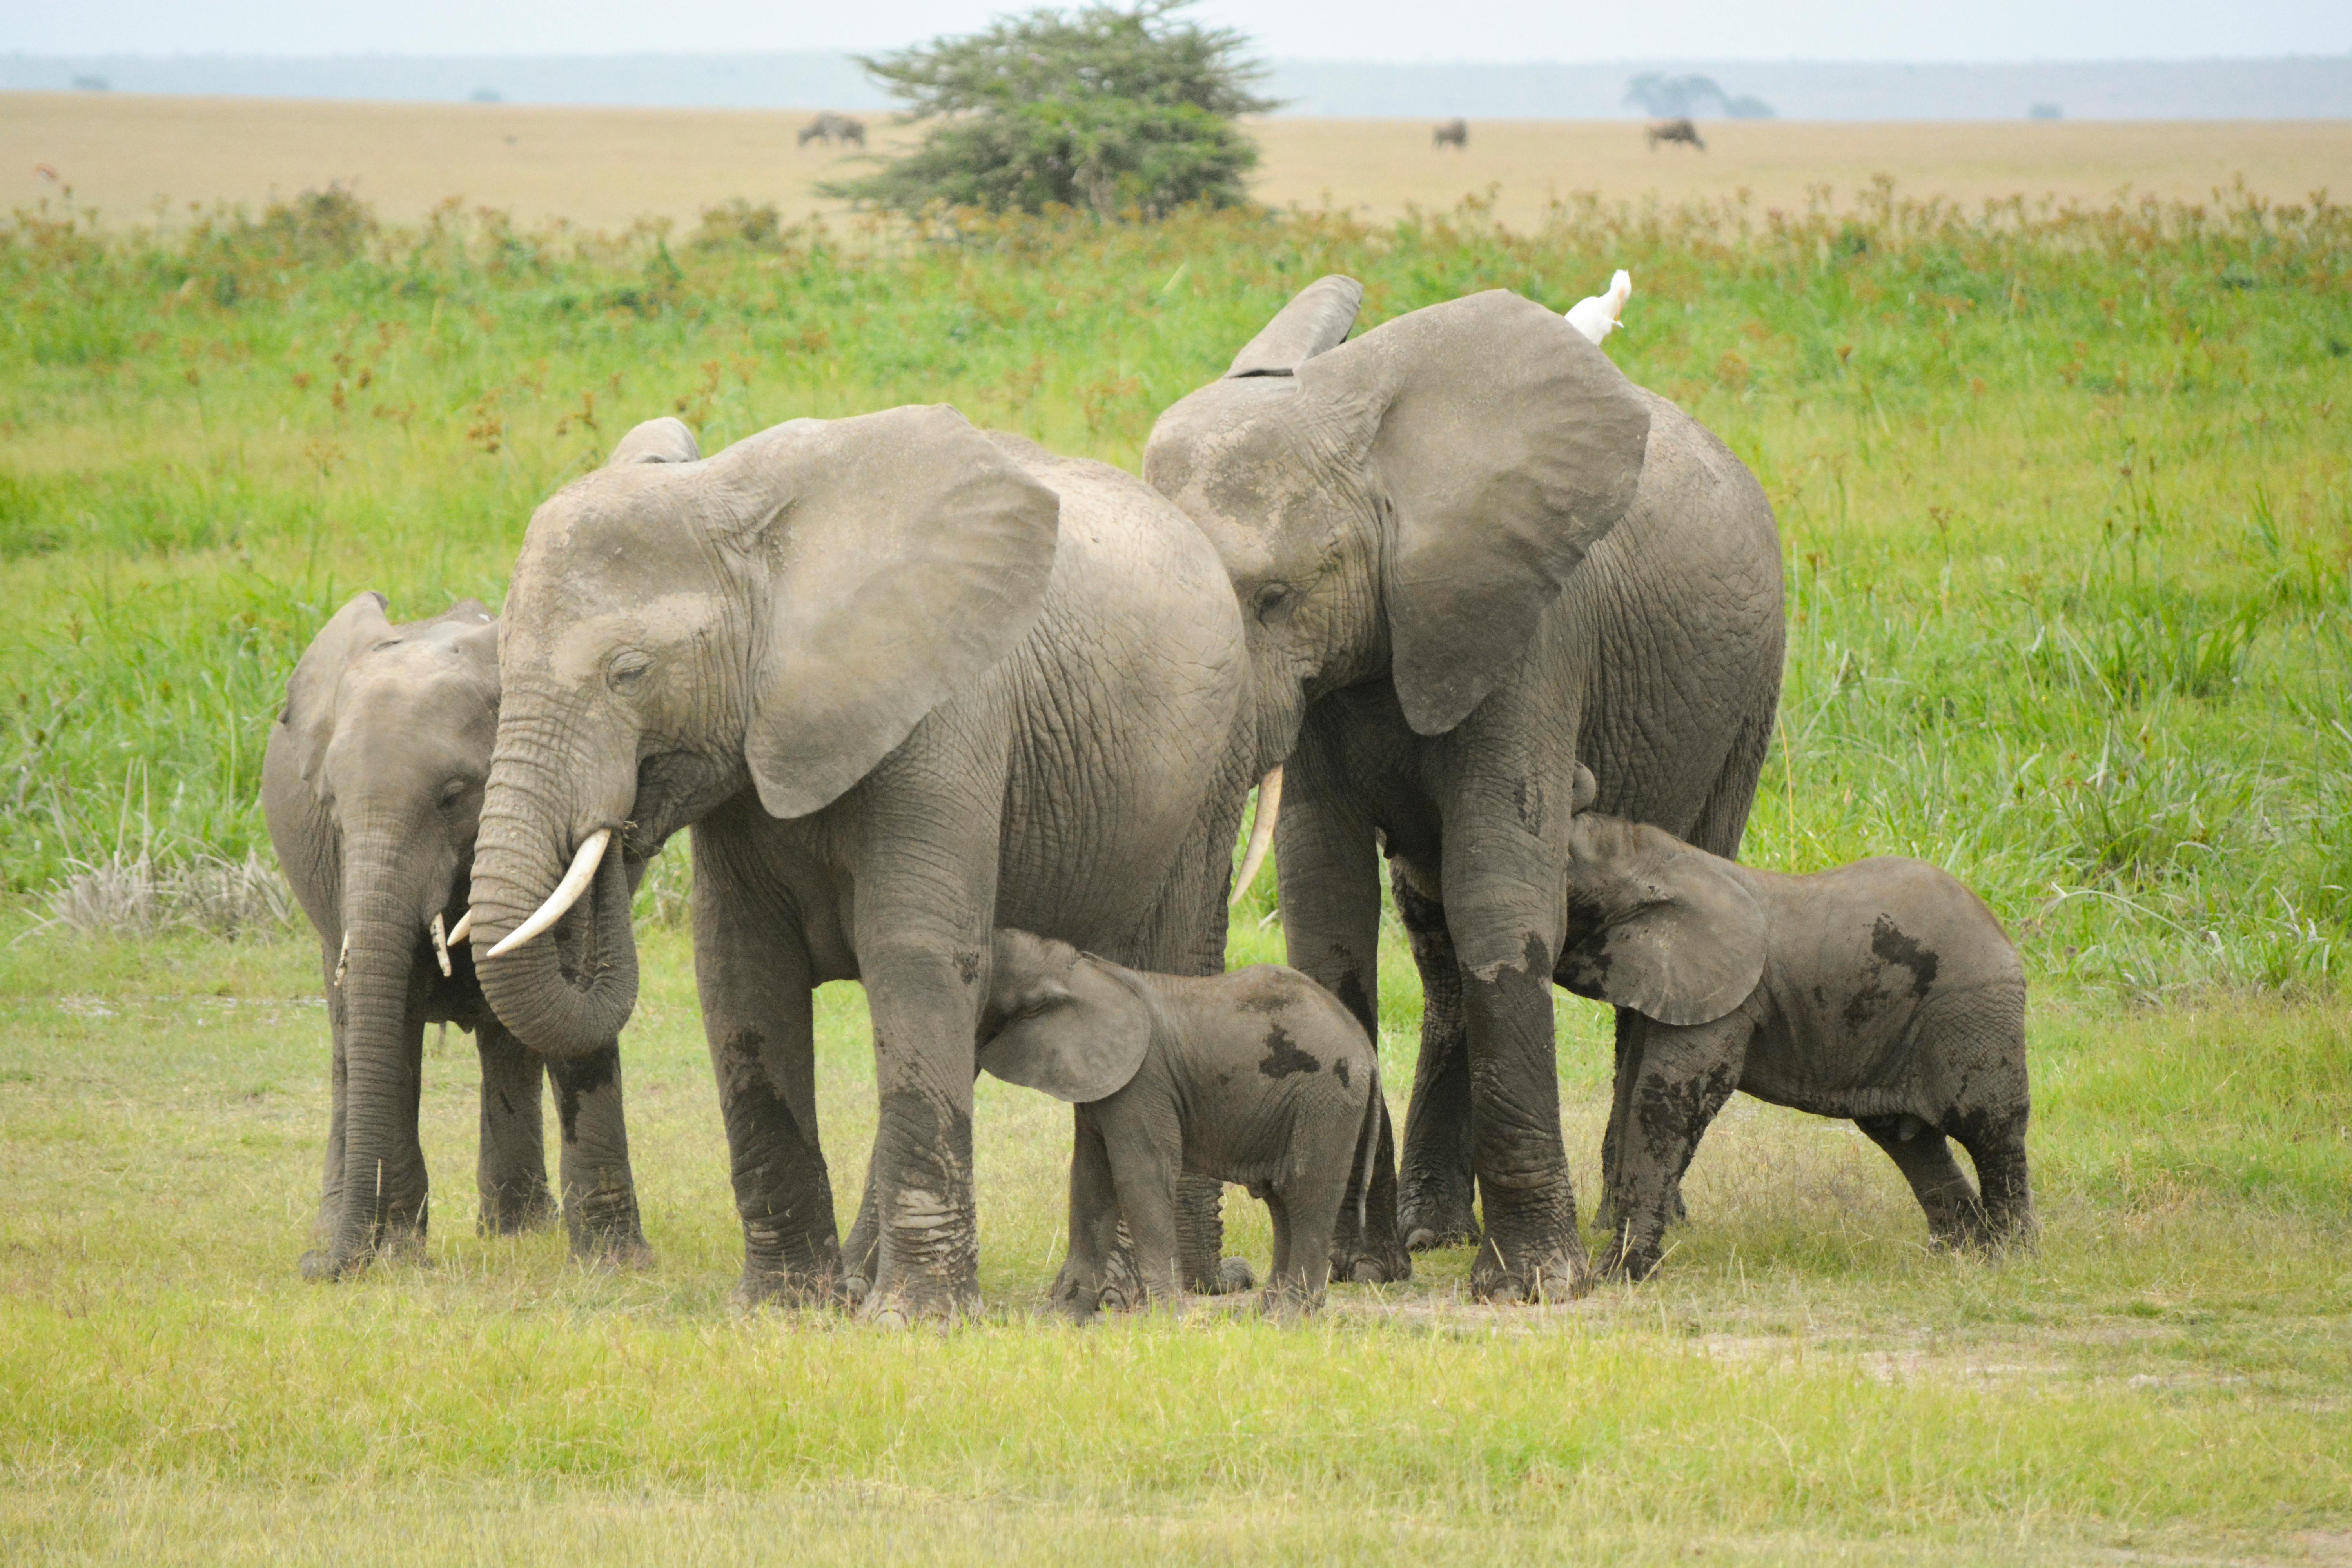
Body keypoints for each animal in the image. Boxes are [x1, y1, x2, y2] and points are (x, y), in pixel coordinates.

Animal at [261, 593, 647, 1278]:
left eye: (452, 797)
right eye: (331, 808)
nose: (314, 1267)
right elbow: (391, 1018)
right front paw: (398, 1250)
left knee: (508, 1040)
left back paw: (517, 1230)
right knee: (347, 1032)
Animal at [464, 407, 1259, 1319]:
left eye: (628, 672)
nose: (618, 820)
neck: (744, 515)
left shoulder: (949, 712)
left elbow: (913, 954)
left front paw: (914, 1321)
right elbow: (741, 973)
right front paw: (784, 1308)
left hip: (1213, 768)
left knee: (1157, 969)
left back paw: (1111, 1298)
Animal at [977, 929, 1381, 1318]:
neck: (1076, 970)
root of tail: (1366, 1047)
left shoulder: (1144, 1083)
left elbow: (1142, 1177)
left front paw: (1163, 1320)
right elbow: (1089, 1181)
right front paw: (1060, 1317)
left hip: (1327, 1094)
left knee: (1305, 1192)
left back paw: (1290, 1318)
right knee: (1282, 1202)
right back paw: (1265, 1315)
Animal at [1143, 277, 1785, 1301]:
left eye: (1276, 598)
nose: (1227, 1278)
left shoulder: (1534, 627)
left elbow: (1501, 900)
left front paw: (1538, 1285)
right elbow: (1331, 917)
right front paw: (1361, 1269)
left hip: (1745, 696)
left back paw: (1628, 1219)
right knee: (1431, 933)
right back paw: (1431, 1228)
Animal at [1553, 784, 2034, 1277]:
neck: (1652, 856)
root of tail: (2000, 932)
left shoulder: (1728, 997)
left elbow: (1669, 1100)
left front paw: (1618, 1274)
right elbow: (1635, 1086)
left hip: (1971, 1010)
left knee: (1990, 1126)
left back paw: (2009, 1256)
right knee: (1910, 1139)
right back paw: (1957, 1253)